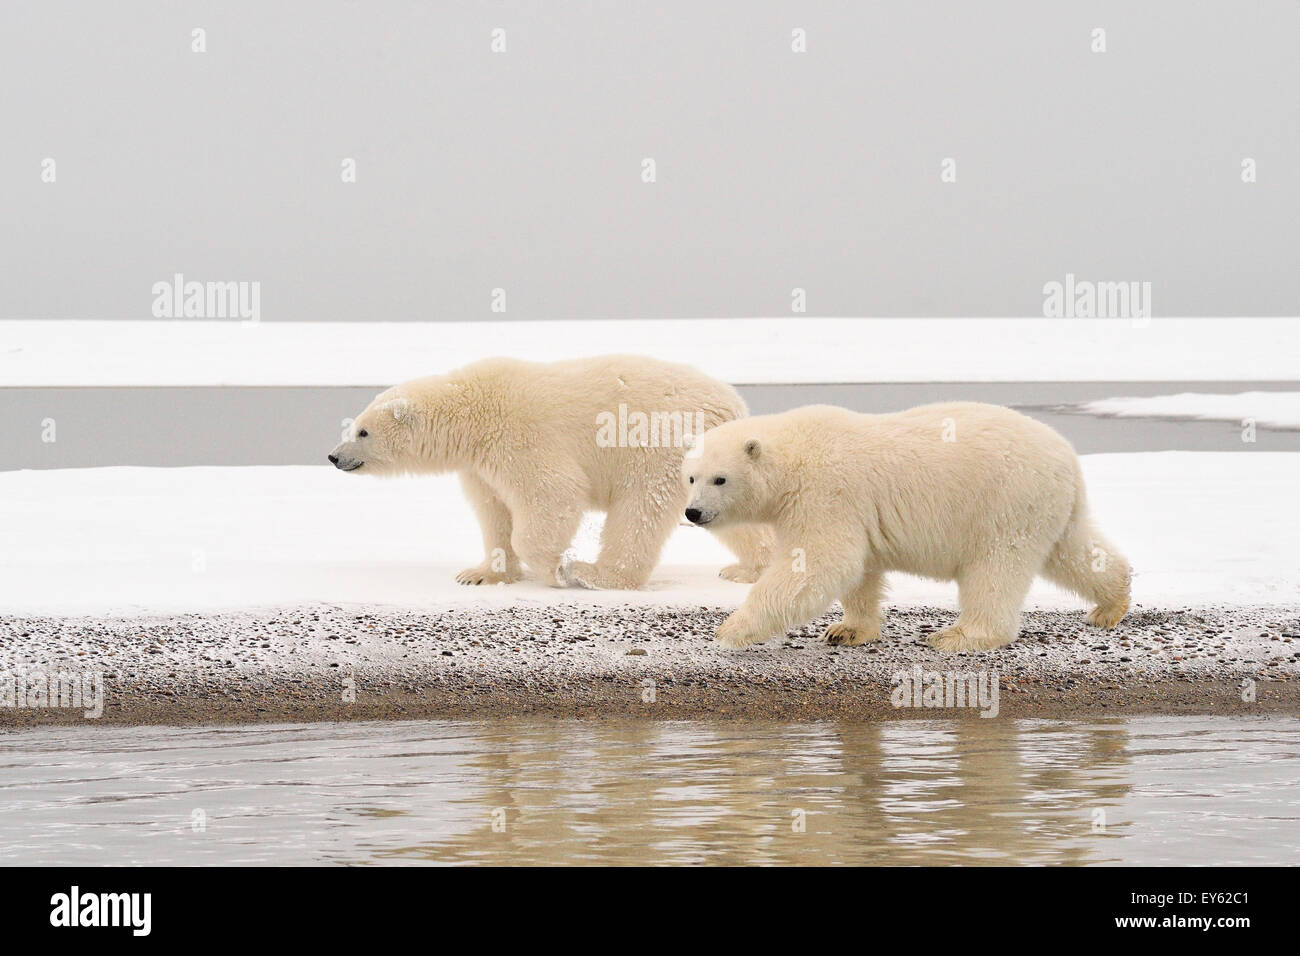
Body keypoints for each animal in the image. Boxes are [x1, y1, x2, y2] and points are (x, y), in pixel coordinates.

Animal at [329, 355, 771, 589]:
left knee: (639, 509)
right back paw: (748, 569)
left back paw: (596, 573)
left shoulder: (517, 436)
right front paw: (480, 574)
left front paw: (554, 570)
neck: (472, 412)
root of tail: (732, 405)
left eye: (362, 431)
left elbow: (552, 494)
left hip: (658, 444)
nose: (334, 457)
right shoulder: (479, 463)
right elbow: (494, 511)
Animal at [683, 402, 1131, 652]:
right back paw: (1110, 604)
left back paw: (959, 636)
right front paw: (847, 630)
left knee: (995, 569)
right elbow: (858, 571)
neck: (793, 458)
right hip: (1048, 508)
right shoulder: (849, 509)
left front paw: (731, 630)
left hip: (1005, 501)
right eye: (691, 477)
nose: (693, 512)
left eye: (720, 479)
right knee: (1074, 552)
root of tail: (1068, 457)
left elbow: (821, 564)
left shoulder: (826, 493)